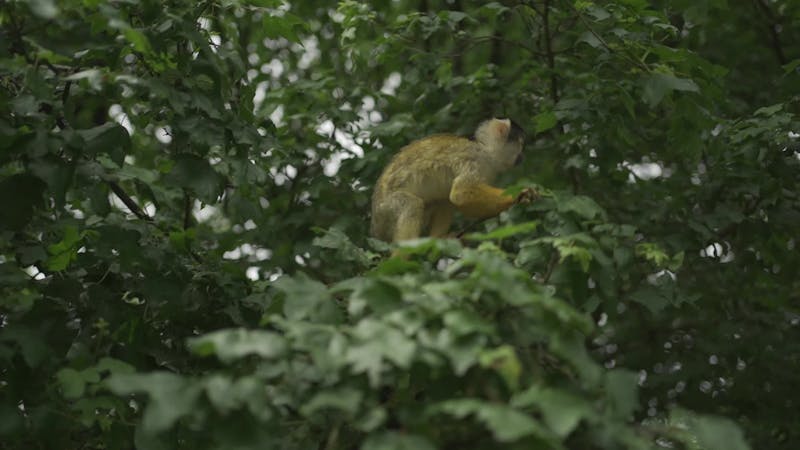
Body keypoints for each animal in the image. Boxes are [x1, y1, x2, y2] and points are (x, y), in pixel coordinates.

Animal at [370, 118, 534, 243]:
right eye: (521, 145)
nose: (523, 156)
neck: (485, 150)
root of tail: (376, 229)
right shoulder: (473, 158)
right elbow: (461, 193)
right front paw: (518, 194)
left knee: (443, 199)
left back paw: (437, 239)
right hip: (387, 208)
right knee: (412, 205)